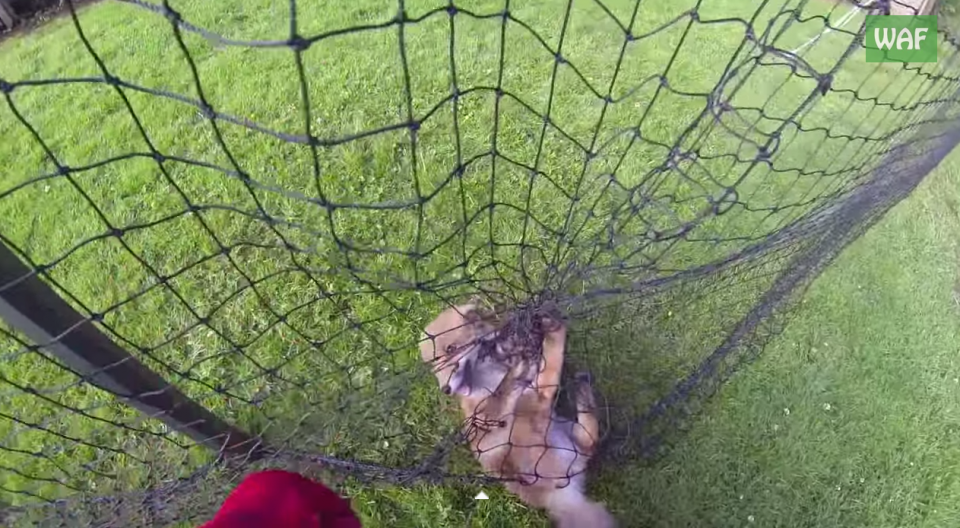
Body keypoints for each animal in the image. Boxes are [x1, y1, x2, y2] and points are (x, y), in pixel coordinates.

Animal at [420, 304, 615, 528]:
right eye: (435, 366)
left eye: (450, 350)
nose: (446, 389)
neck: (488, 374)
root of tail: (555, 498)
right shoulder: (485, 416)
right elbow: (503, 391)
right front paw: (519, 365)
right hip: (526, 412)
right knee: (547, 386)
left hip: (561, 428)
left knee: (588, 441)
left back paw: (580, 387)